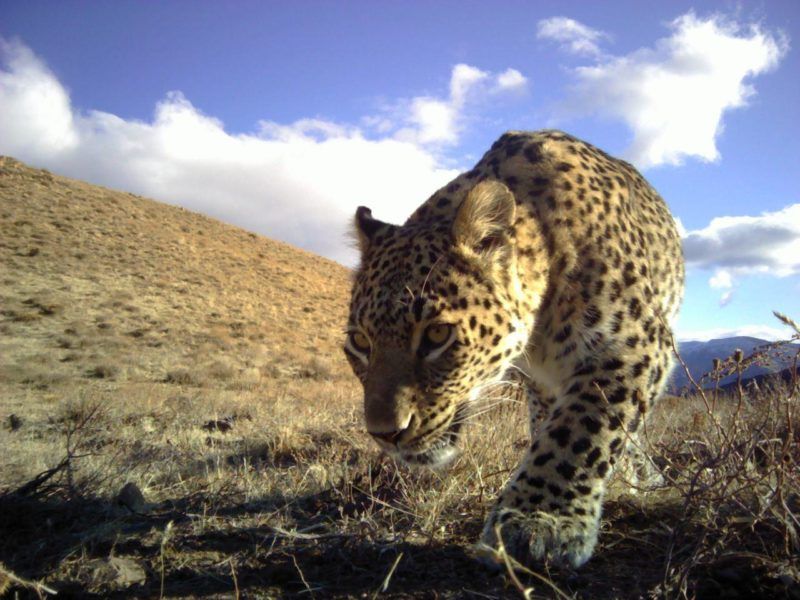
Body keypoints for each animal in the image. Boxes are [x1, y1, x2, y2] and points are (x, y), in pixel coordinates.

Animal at [343, 130, 684, 568]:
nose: (385, 434)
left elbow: (581, 432)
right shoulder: (542, 378)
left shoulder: (635, 343)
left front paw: (539, 521)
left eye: (437, 335)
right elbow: (553, 427)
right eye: (360, 342)